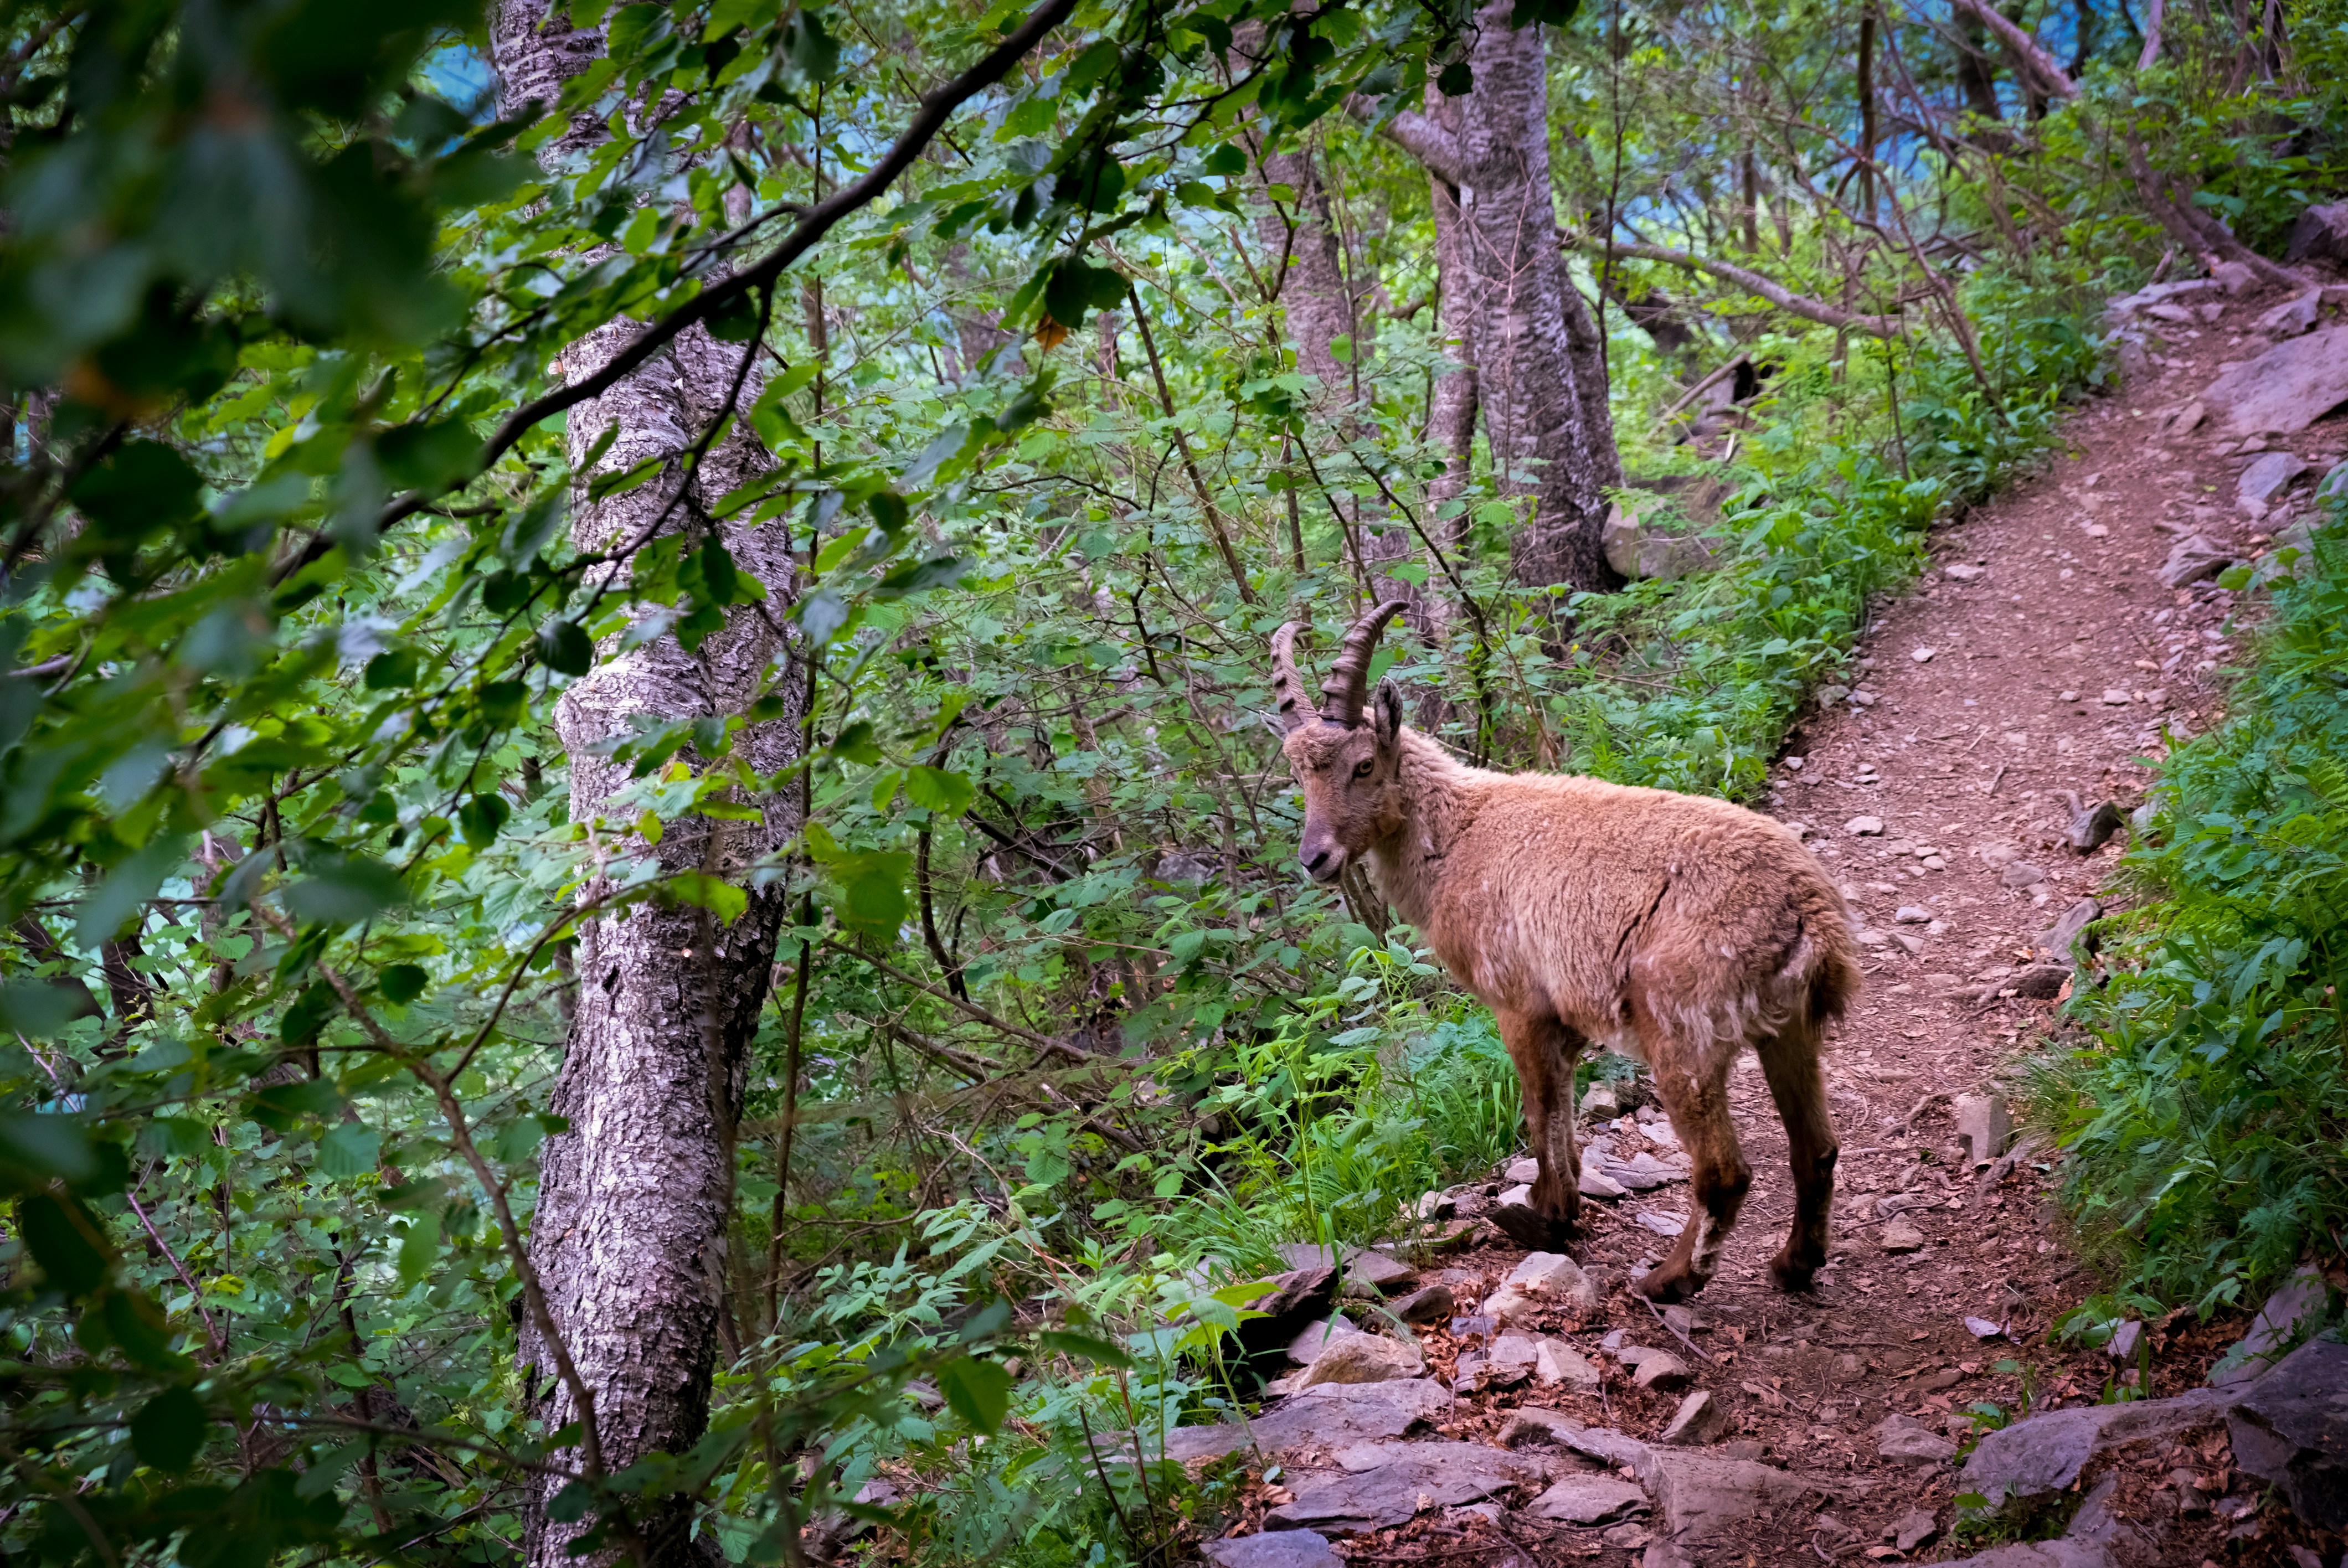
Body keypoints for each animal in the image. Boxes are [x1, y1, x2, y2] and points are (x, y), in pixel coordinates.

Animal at [1269, 601, 1860, 1302]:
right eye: (1298, 772)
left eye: (1363, 765)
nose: (1315, 858)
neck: (1458, 836)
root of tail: (1805, 909)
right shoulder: (1565, 1013)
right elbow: (1563, 1109)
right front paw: (1560, 1202)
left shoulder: (1517, 1003)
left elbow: (1537, 1108)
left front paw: (1543, 1215)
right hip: (1788, 1027)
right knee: (1815, 1149)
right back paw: (1793, 1263)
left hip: (1683, 1033)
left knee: (1723, 1172)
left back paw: (1669, 1279)